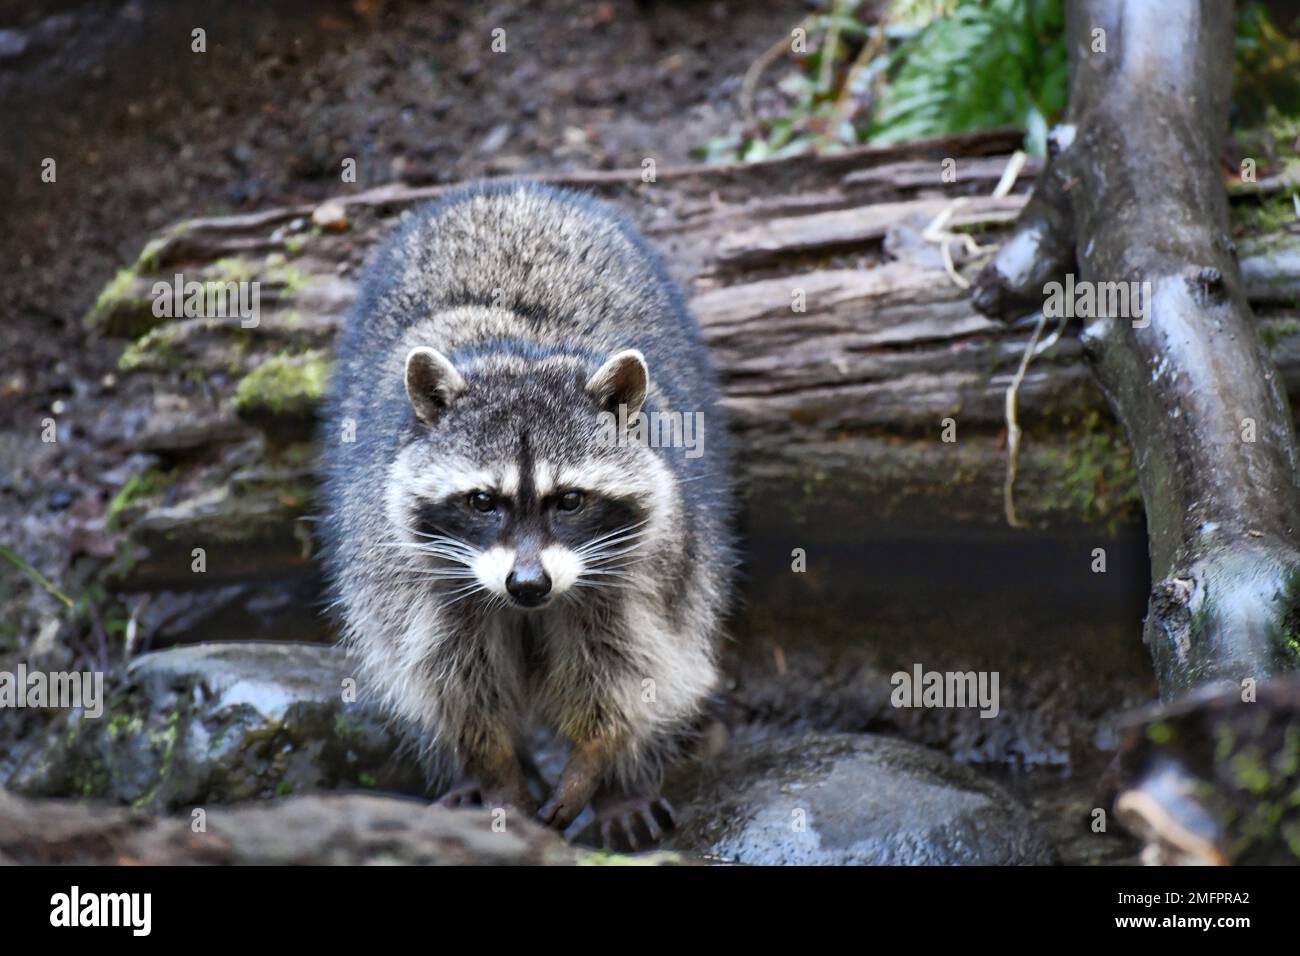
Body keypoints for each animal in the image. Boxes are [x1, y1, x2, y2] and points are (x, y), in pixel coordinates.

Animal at [320, 182, 734, 846]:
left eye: (569, 501)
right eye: (482, 502)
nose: (529, 585)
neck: (519, 354)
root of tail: (504, 188)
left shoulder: (641, 565)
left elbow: (627, 669)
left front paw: (596, 760)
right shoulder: (411, 576)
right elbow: (453, 684)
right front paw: (495, 774)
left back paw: (623, 787)